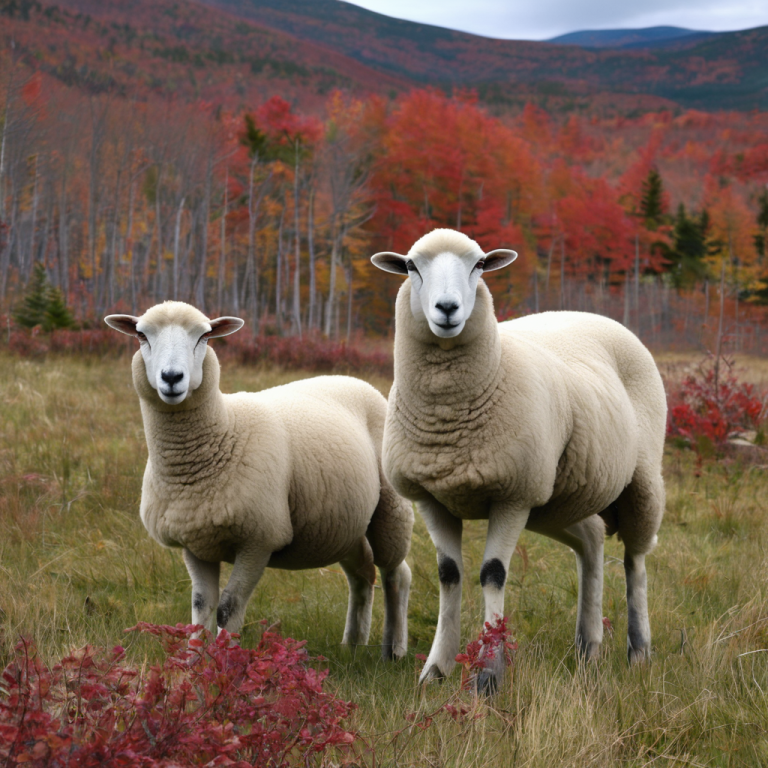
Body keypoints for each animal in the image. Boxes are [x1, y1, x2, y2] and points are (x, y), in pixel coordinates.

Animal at [104, 301, 414, 659]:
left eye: (204, 336)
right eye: (142, 335)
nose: (171, 378)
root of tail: (353, 380)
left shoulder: (259, 539)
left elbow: (228, 607)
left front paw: (225, 664)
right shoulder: (195, 542)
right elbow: (200, 606)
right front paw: (193, 664)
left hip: (390, 509)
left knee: (396, 574)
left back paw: (394, 650)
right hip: (343, 525)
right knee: (363, 573)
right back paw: (352, 645)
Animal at [371, 228, 666, 689]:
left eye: (478, 265)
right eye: (411, 266)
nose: (447, 309)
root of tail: (593, 315)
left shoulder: (512, 494)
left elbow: (492, 572)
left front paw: (489, 675)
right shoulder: (432, 498)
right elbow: (449, 575)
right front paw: (435, 669)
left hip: (640, 482)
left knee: (636, 562)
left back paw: (639, 651)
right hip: (557, 499)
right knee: (592, 540)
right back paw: (588, 646)